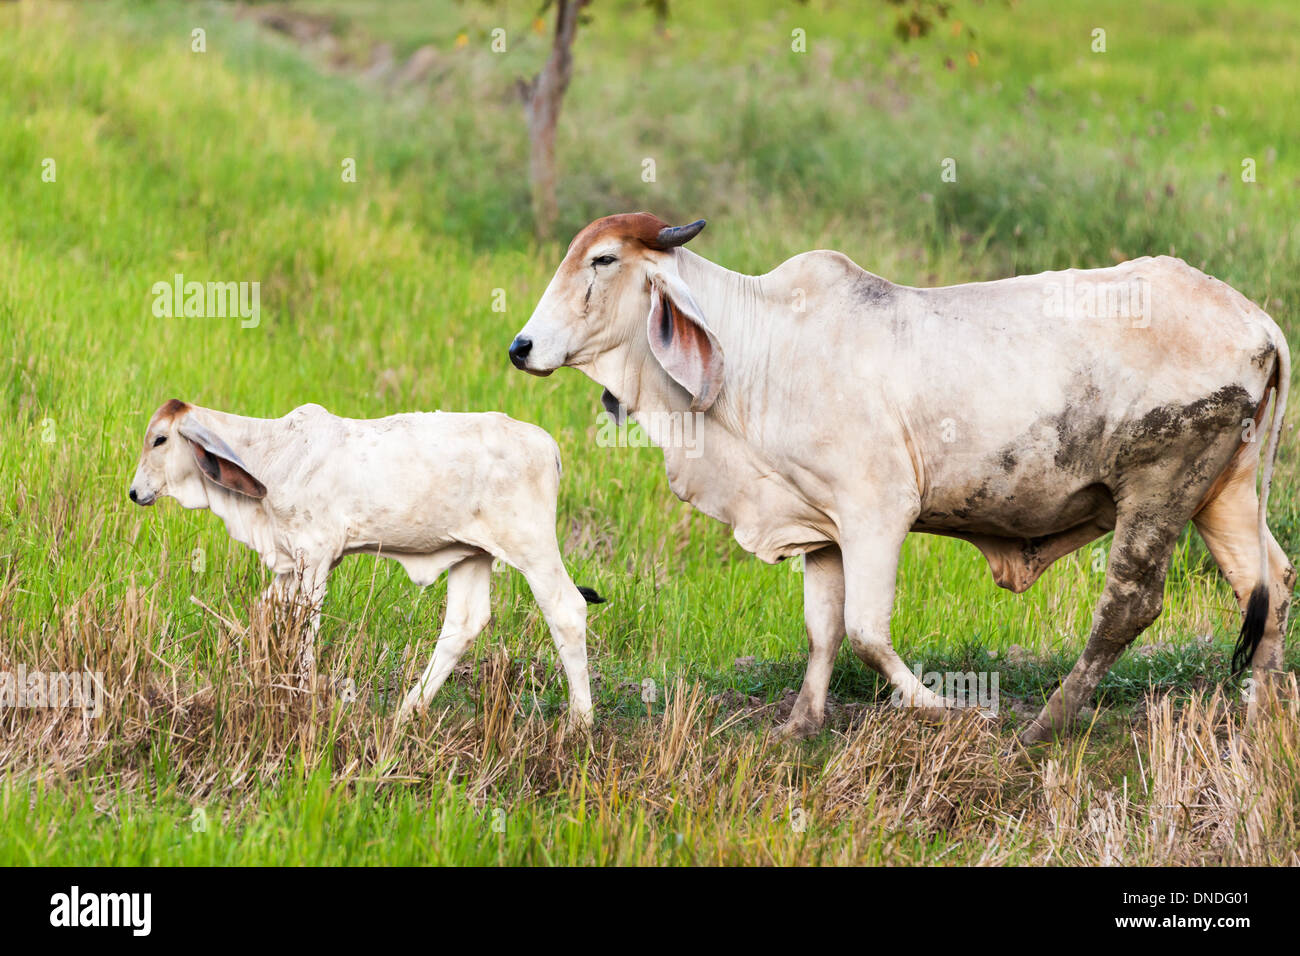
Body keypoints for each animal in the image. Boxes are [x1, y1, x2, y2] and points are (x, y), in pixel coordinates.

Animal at [127, 400, 604, 727]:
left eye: (159, 439)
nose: (134, 492)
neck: (273, 455)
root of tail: (547, 444)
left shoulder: (315, 556)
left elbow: (305, 627)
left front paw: (300, 695)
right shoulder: (290, 563)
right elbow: (267, 613)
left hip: (533, 548)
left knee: (566, 611)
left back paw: (579, 725)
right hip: (472, 553)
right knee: (464, 623)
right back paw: (408, 711)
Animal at [508, 212, 1293, 743]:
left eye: (603, 259)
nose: (521, 347)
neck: (759, 352)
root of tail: (1256, 321)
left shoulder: (878, 511)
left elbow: (866, 631)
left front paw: (944, 708)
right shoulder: (823, 529)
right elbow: (823, 629)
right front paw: (801, 723)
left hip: (1158, 489)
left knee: (1129, 605)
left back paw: (1046, 723)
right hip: (1222, 493)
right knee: (1269, 583)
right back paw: (1264, 714)